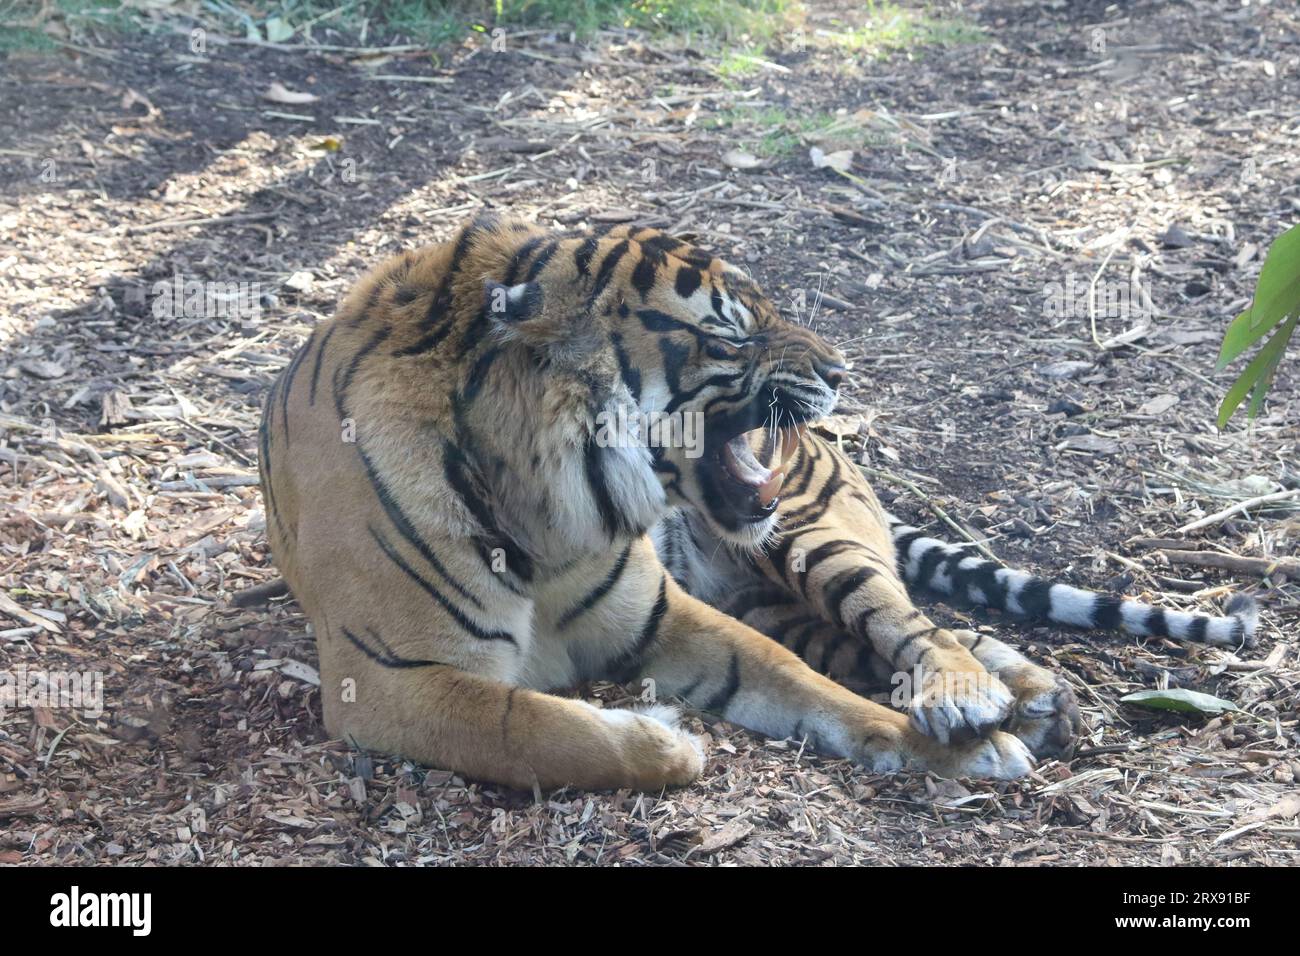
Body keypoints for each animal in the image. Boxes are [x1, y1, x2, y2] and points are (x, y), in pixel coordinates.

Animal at [249, 211, 1259, 790]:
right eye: (729, 333)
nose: (844, 373)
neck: (554, 513)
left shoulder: (662, 613)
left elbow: (803, 686)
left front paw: (957, 748)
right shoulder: (393, 681)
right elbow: (531, 728)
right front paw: (667, 744)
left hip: (810, 542)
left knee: (909, 625)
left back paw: (988, 695)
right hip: (777, 584)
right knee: (885, 635)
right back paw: (1023, 692)